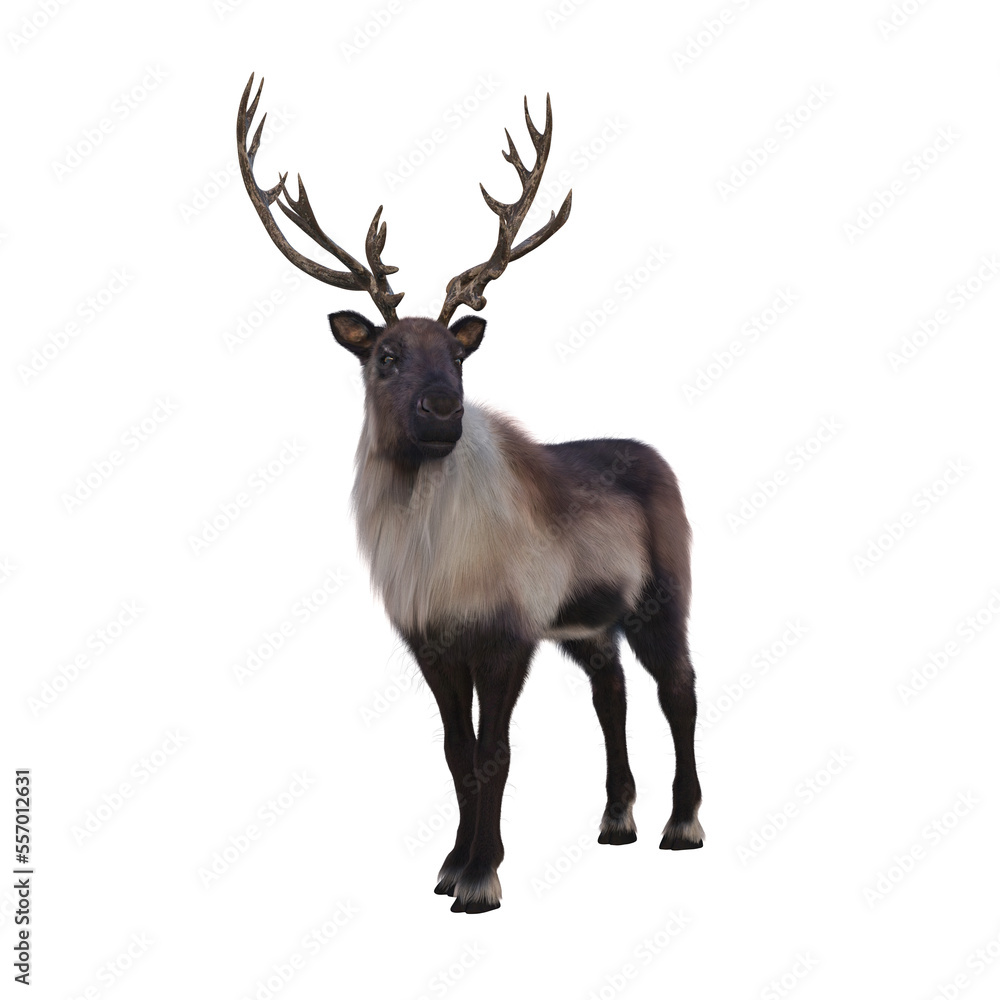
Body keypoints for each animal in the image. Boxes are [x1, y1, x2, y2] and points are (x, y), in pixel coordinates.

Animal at [236, 73, 704, 913]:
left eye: (458, 356)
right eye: (385, 354)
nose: (444, 410)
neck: (431, 553)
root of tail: (663, 463)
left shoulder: (507, 633)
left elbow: (496, 751)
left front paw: (483, 876)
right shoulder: (430, 643)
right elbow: (457, 751)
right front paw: (452, 863)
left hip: (663, 594)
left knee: (678, 688)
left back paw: (682, 823)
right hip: (590, 625)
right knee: (612, 692)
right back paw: (616, 817)